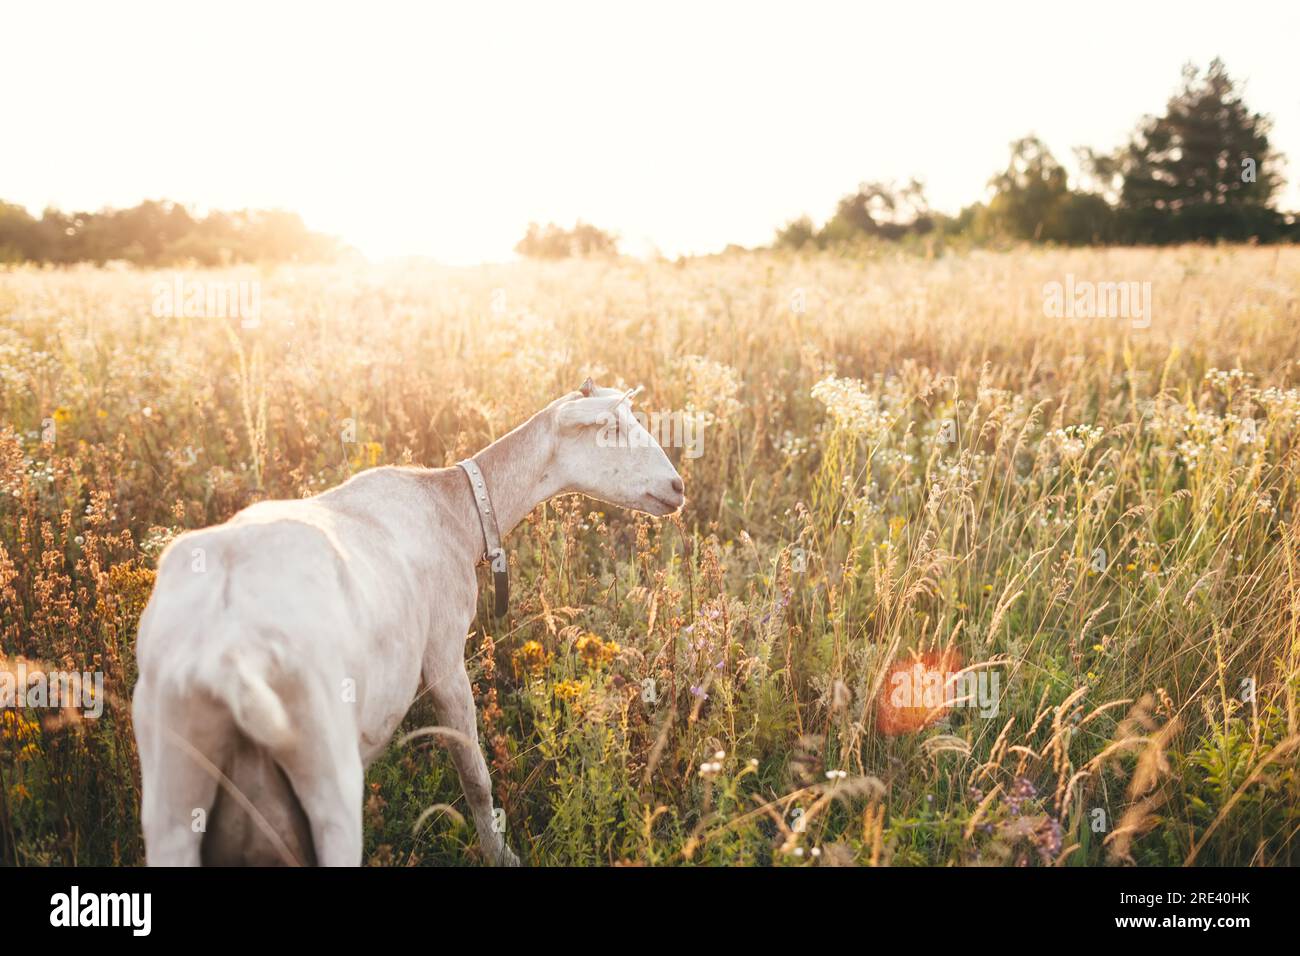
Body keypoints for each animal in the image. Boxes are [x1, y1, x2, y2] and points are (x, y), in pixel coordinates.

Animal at [132, 380, 685, 866]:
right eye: (612, 426)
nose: (677, 486)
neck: (456, 508)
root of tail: (226, 654)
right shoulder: (443, 653)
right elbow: (474, 775)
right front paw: (501, 853)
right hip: (324, 763)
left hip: (173, 783)